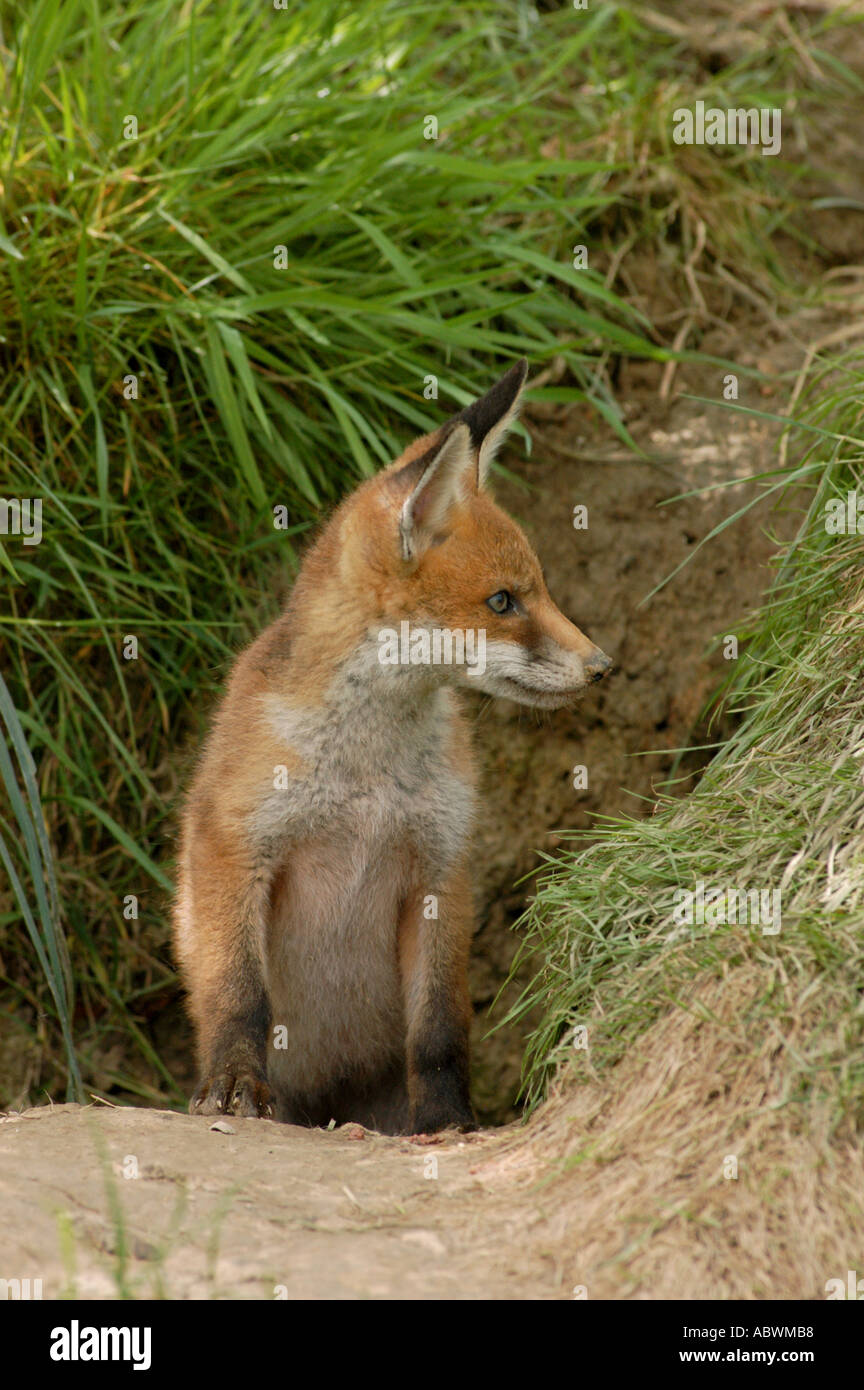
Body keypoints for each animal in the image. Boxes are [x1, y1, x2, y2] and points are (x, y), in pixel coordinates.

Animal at [173, 359, 612, 1135]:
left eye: (542, 590)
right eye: (503, 602)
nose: (602, 666)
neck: (367, 777)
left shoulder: (441, 867)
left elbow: (439, 1029)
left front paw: (446, 1121)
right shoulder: (233, 844)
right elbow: (238, 995)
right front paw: (231, 1087)